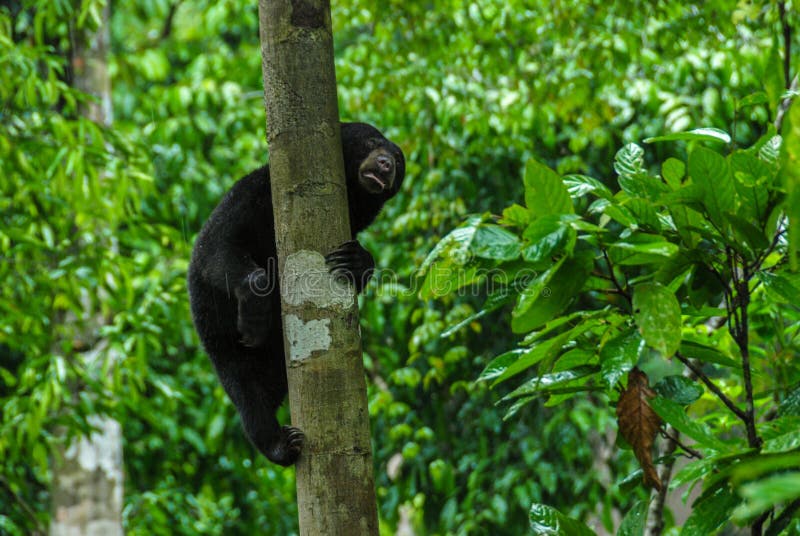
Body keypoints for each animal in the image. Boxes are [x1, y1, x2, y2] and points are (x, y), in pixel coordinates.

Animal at [188, 122, 405, 465]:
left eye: (398, 160)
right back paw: (277, 443)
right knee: (245, 389)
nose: (386, 164)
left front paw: (356, 261)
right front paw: (254, 314)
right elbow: (217, 246)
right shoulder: (251, 196)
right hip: (214, 328)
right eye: (371, 142)